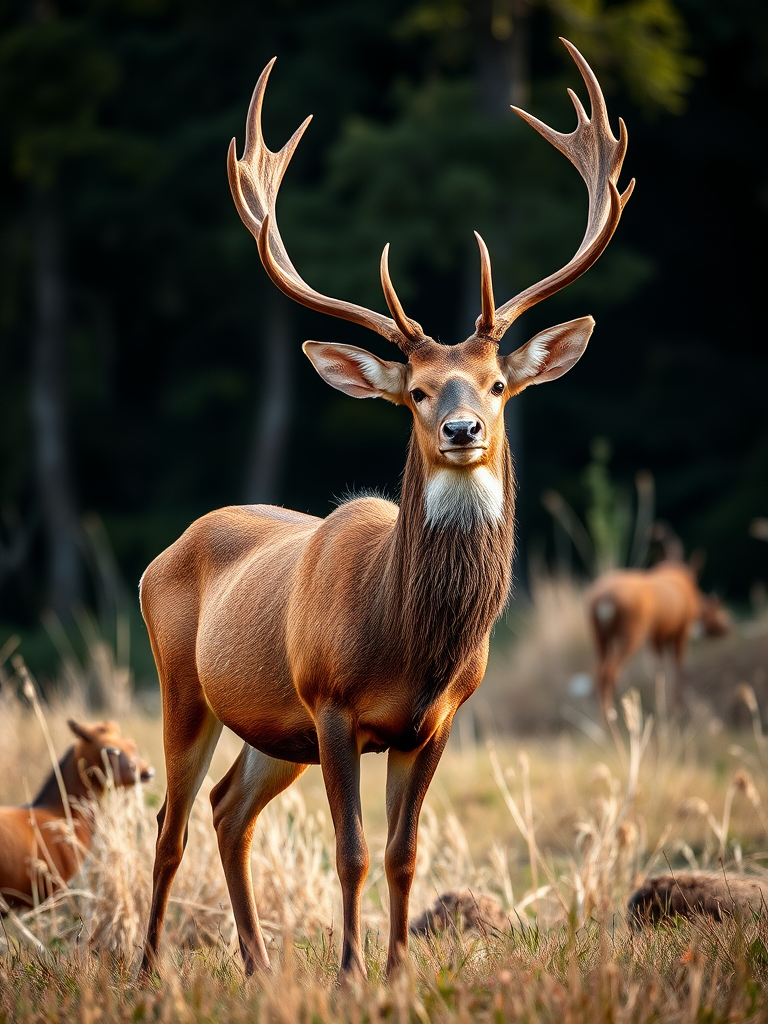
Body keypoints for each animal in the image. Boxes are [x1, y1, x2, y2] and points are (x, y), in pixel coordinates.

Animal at [139, 38, 633, 980]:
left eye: (499, 383)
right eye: (415, 391)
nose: (463, 428)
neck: (411, 640)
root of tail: (165, 551)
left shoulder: (433, 722)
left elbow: (405, 852)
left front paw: (400, 972)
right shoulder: (331, 702)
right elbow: (354, 851)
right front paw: (351, 975)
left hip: (271, 727)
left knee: (226, 810)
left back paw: (259, 967)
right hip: (187, 685)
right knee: (171, 823)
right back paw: (147, 971)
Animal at [587, 560, 731, 717]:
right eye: (715, 609)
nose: (727, 626)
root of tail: (605, 599)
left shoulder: (657, 637)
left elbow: (658, 671)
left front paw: (660, 704)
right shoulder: (680, 633)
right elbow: (678, 668)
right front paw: (677, 708)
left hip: (601, 638)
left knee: (598, 674)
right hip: (631, 636)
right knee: (610, 673)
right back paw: (612, 714)